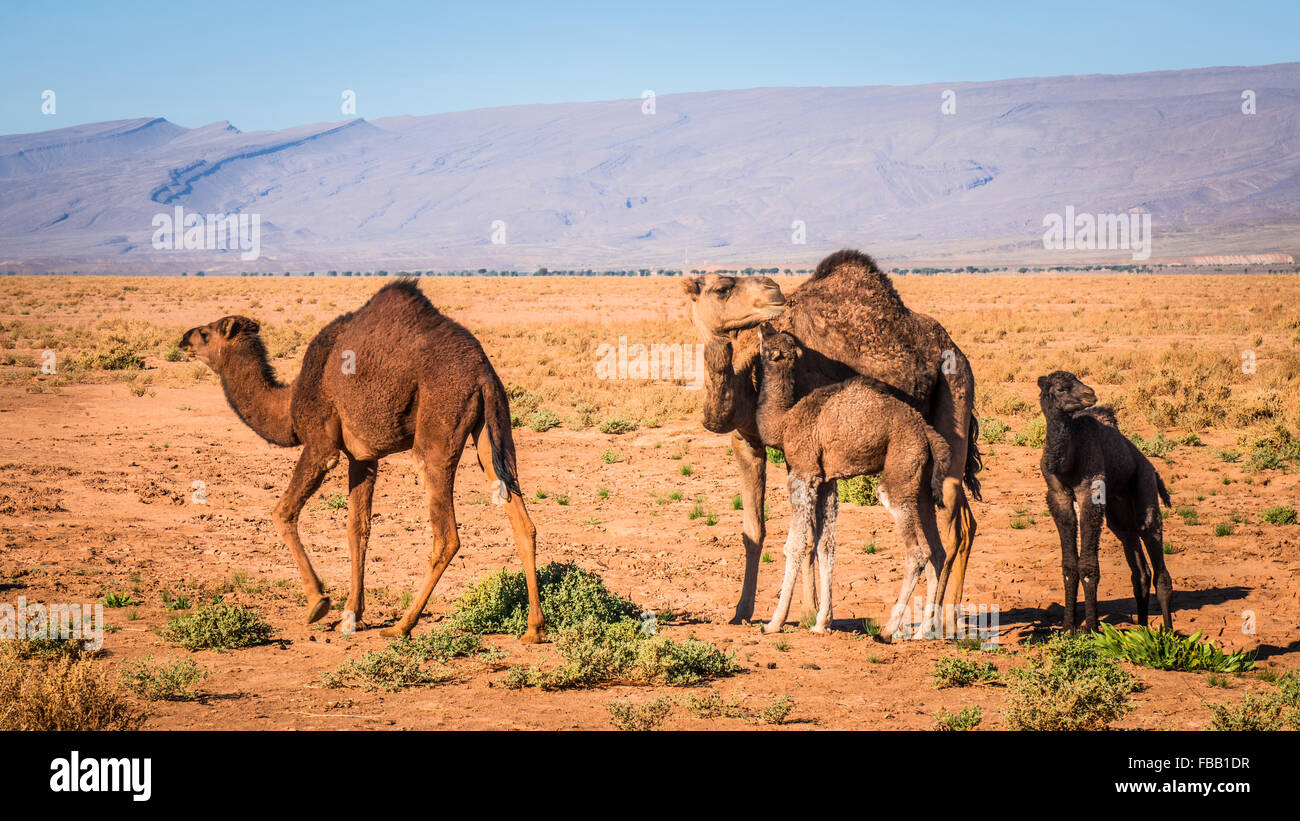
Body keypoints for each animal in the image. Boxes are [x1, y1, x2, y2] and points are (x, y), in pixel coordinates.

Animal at [179, 279, 544, 641]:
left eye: (207, 334)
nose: (184, 338)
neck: (289, 402)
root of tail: (482, 373)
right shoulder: (362, 456)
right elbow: (358, 528)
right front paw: (352, 615)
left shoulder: (321, 443)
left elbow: (282, 511)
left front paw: (318, 602)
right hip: (494, 428)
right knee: (521, 519)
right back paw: (534, 628)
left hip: (438, 425)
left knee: (446, 535)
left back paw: (402, 625)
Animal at [752, 326, 951, 639]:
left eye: (766, 344)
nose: (763, 327)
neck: (784, 423)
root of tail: (926, 431)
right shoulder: (826, 480)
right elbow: (826, 546)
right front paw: (822, 623)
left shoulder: (803, 472)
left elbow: (795, 544)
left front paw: (773, 623)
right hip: (919, 484)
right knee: (937, 552)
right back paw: (923, 632)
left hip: (899, 470)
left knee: (917, 553)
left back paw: (887, 631)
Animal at [1038, 371, 1174, 633]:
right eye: (1061, 388)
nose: (1090, 393)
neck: (1066, 460)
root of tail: (1152, 468)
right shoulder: (1057, 495)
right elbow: (1069, 565)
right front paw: (1068, 628)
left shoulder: (1090, 491)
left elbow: (1088, 565)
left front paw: (1090, 628)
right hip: (1119, 512)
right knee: (1139, 567)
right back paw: (1142, 629)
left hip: (1144, 485)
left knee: (1153, 544)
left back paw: (1169, 633)